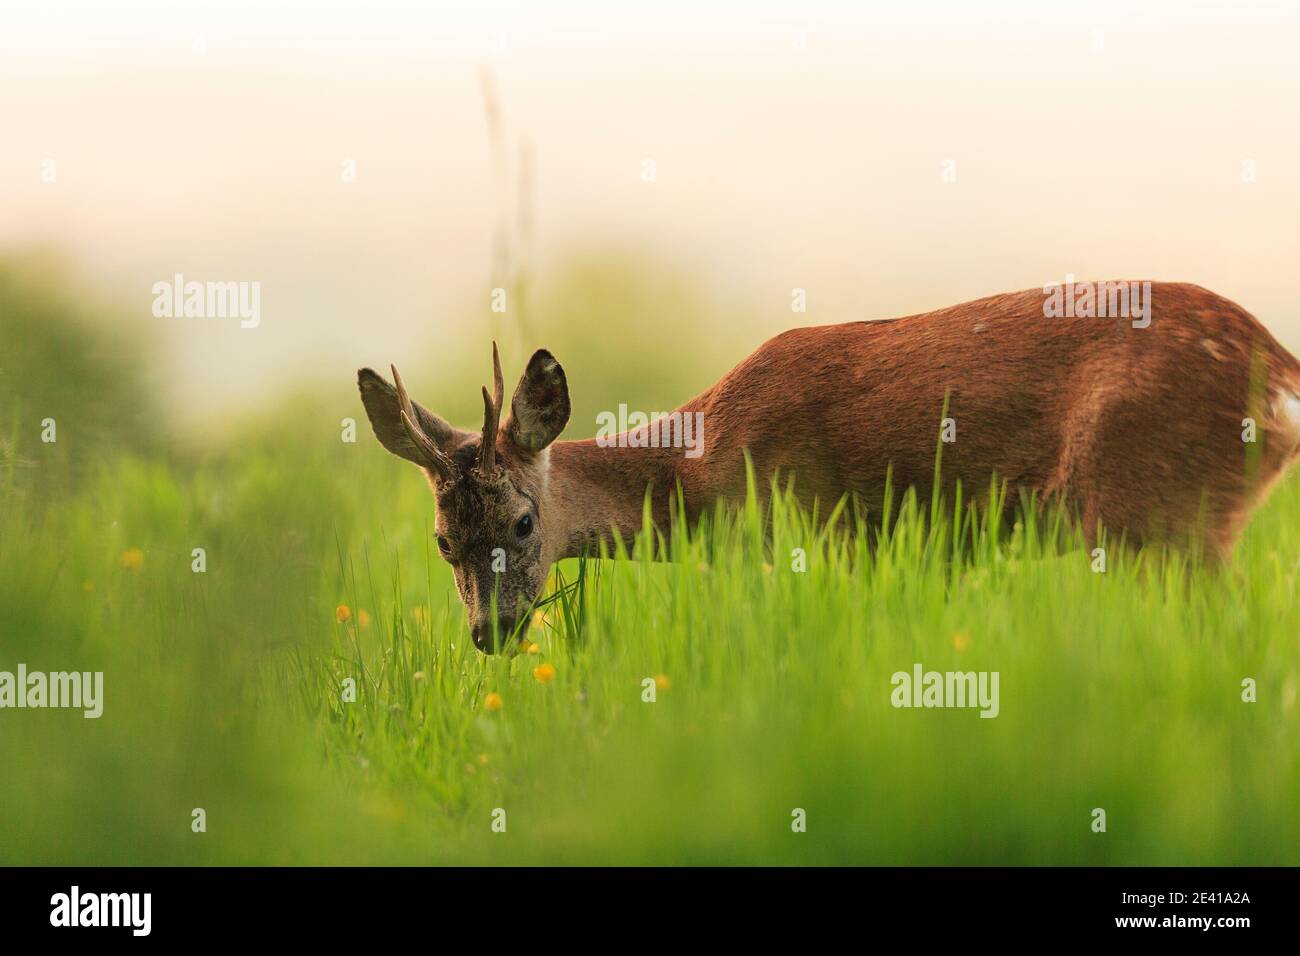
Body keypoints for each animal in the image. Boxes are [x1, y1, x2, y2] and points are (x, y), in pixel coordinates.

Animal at [359, 281, 1300, 653]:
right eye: (442, 540)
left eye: (524, 522)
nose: (491, 632)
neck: (696, 468)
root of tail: (1279, 374)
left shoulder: (816, 528)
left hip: (1156, 507)